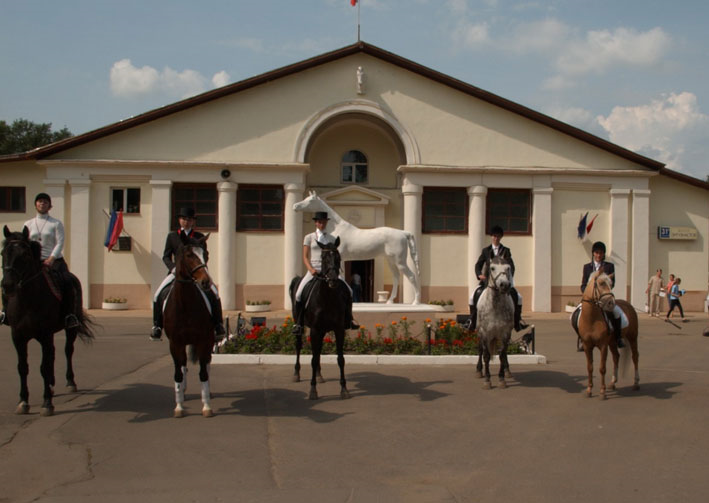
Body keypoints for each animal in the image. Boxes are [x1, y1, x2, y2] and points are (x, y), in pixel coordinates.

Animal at [1, 226, 94, 416]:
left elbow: (43, 367)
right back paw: (51, 385)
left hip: (69, 329)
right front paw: (23, 402)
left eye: (25, 255)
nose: (7, 285)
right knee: (53, 356)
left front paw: (47, 403)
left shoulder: (45, 335)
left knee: (67, 351)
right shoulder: (18, 337)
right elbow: (23, 367)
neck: (28, 301)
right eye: (3, 253)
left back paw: (70, 382)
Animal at [162, 231, 214, 418]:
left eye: (206, 254)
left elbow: (203, 372)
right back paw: (182, 392)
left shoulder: (204, 340)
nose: (206, 282)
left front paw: (206, 406)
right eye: (189, 255)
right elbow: (178, 373)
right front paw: (179, 407)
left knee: (206, 364)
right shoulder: (174, 343)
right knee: (183, 364)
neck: (185, 306)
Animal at [290, 237, 350, 402]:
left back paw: (319, 374)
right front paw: (313, 390)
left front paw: (344, 389)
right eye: (323, 257)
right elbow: (313, 358)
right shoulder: (315, 330)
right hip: (301, 325)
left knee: (318, 351)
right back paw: (296, 373)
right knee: (299, 346)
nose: (333, 280)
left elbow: (340, 359)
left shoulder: (339, 329)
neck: (327, 298)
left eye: (338, 257)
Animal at [472, 256, 512, 390]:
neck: (495, 305)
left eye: (508, 268)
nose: (504, 285)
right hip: (480, 333)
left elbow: (502, 355)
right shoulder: (485, 333)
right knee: (480, 350)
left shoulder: (505, 333)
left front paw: (501, 379)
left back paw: (507, 370)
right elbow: (486, 356)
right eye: (493, 268)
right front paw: (487, 380)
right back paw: (479, 371)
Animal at [580, 270, 640, 400]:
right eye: (601, 283)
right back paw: (613, 382)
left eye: (611, 284)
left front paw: (602, 392)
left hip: (632, 337)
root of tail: (628, 304)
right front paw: (589, 390)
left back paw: (636, 383)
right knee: (616, 356)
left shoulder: (603, 346)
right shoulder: (587, 346)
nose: (611, 303)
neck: (592, 319)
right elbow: (590, 368)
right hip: (612, 342)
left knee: (635, 357)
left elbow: (602, 368)